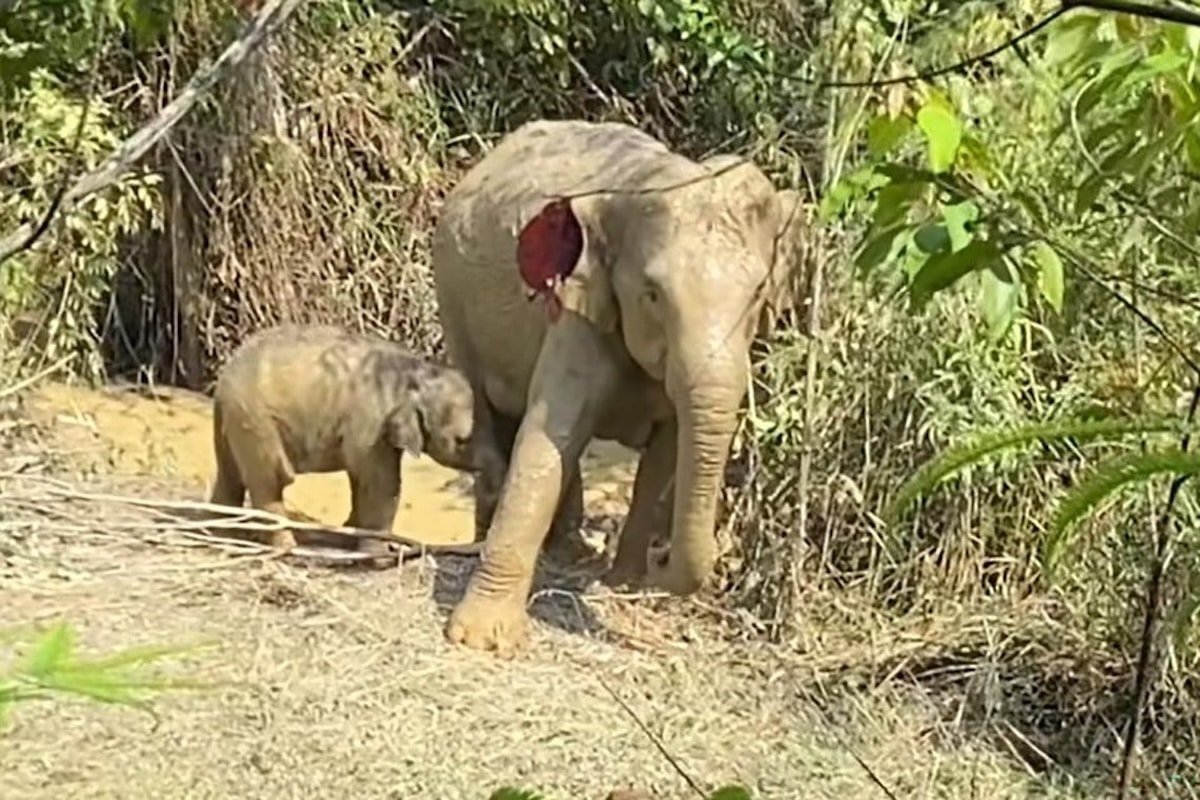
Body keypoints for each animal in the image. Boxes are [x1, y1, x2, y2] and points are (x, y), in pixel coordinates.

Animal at [208, 324, 479, 554]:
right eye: (462, 441)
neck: (415, 372)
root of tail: (224, 376)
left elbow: (360, 478)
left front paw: (349, 534)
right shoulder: (370, 423)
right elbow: (381, 482)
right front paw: (377, 553)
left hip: (234, 420)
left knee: (229, 473)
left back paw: (220, 534)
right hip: (256, 420)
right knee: (272, 478)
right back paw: (286, 546)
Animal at [431, 119, 806, 654]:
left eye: (756, 294)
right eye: (652, 294)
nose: (661, 558)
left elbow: (668, 450)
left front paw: (624, 581)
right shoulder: (576, 306)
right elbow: (547, 437)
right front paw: (481, 637)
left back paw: (570, 549)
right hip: (453, 300)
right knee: (488, 410)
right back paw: (487, 535)